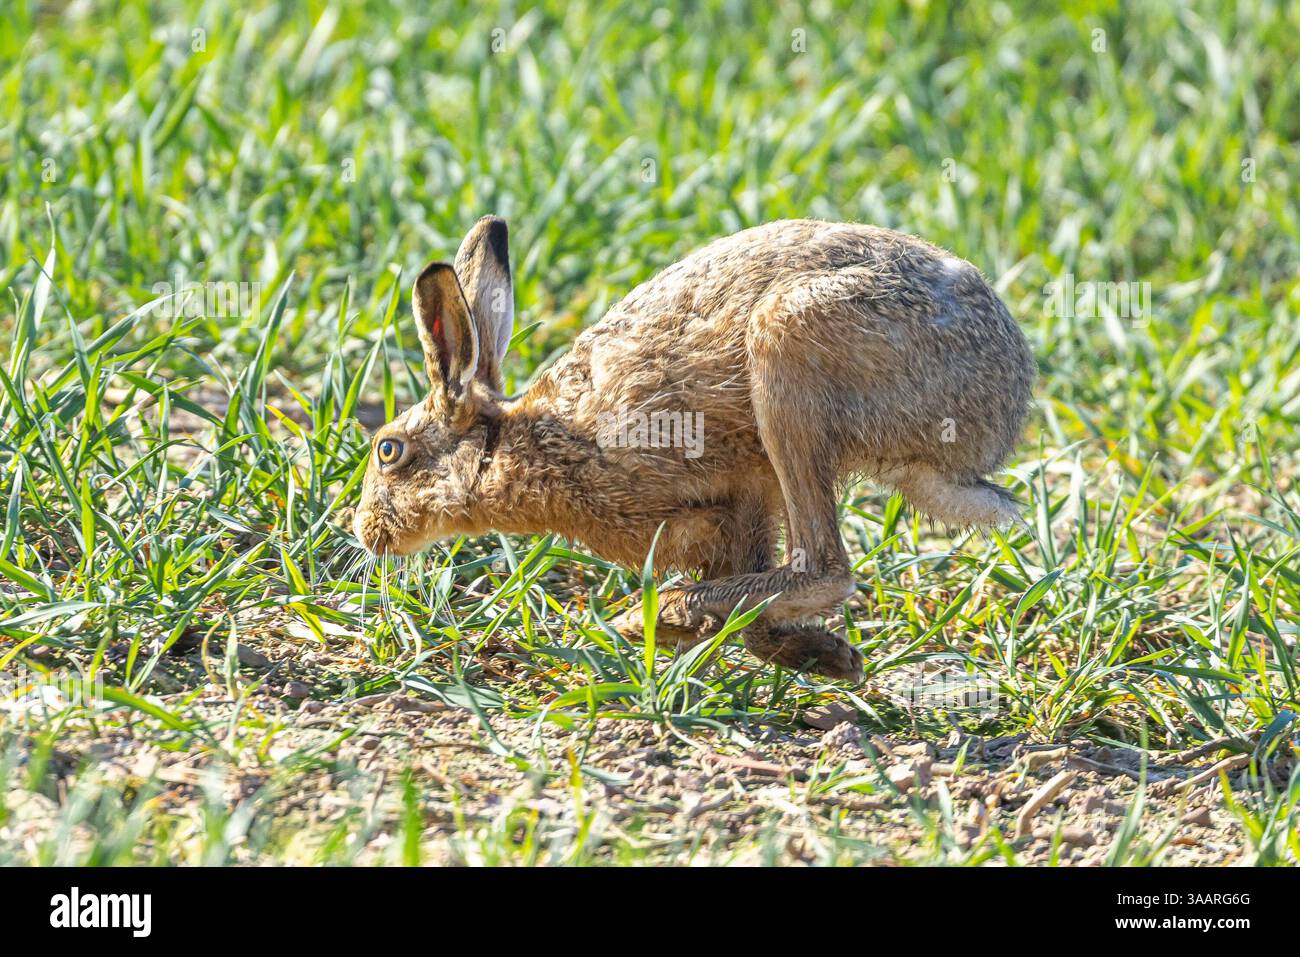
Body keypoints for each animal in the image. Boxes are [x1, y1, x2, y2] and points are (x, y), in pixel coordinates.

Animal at [354, 216, 1036, 681]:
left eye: (389, 451)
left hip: (789, 346)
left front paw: (667, 620)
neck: (512, 446)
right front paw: (825, 655)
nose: (364, 532)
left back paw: (645, 617)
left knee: (826, 564)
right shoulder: (744, 505)